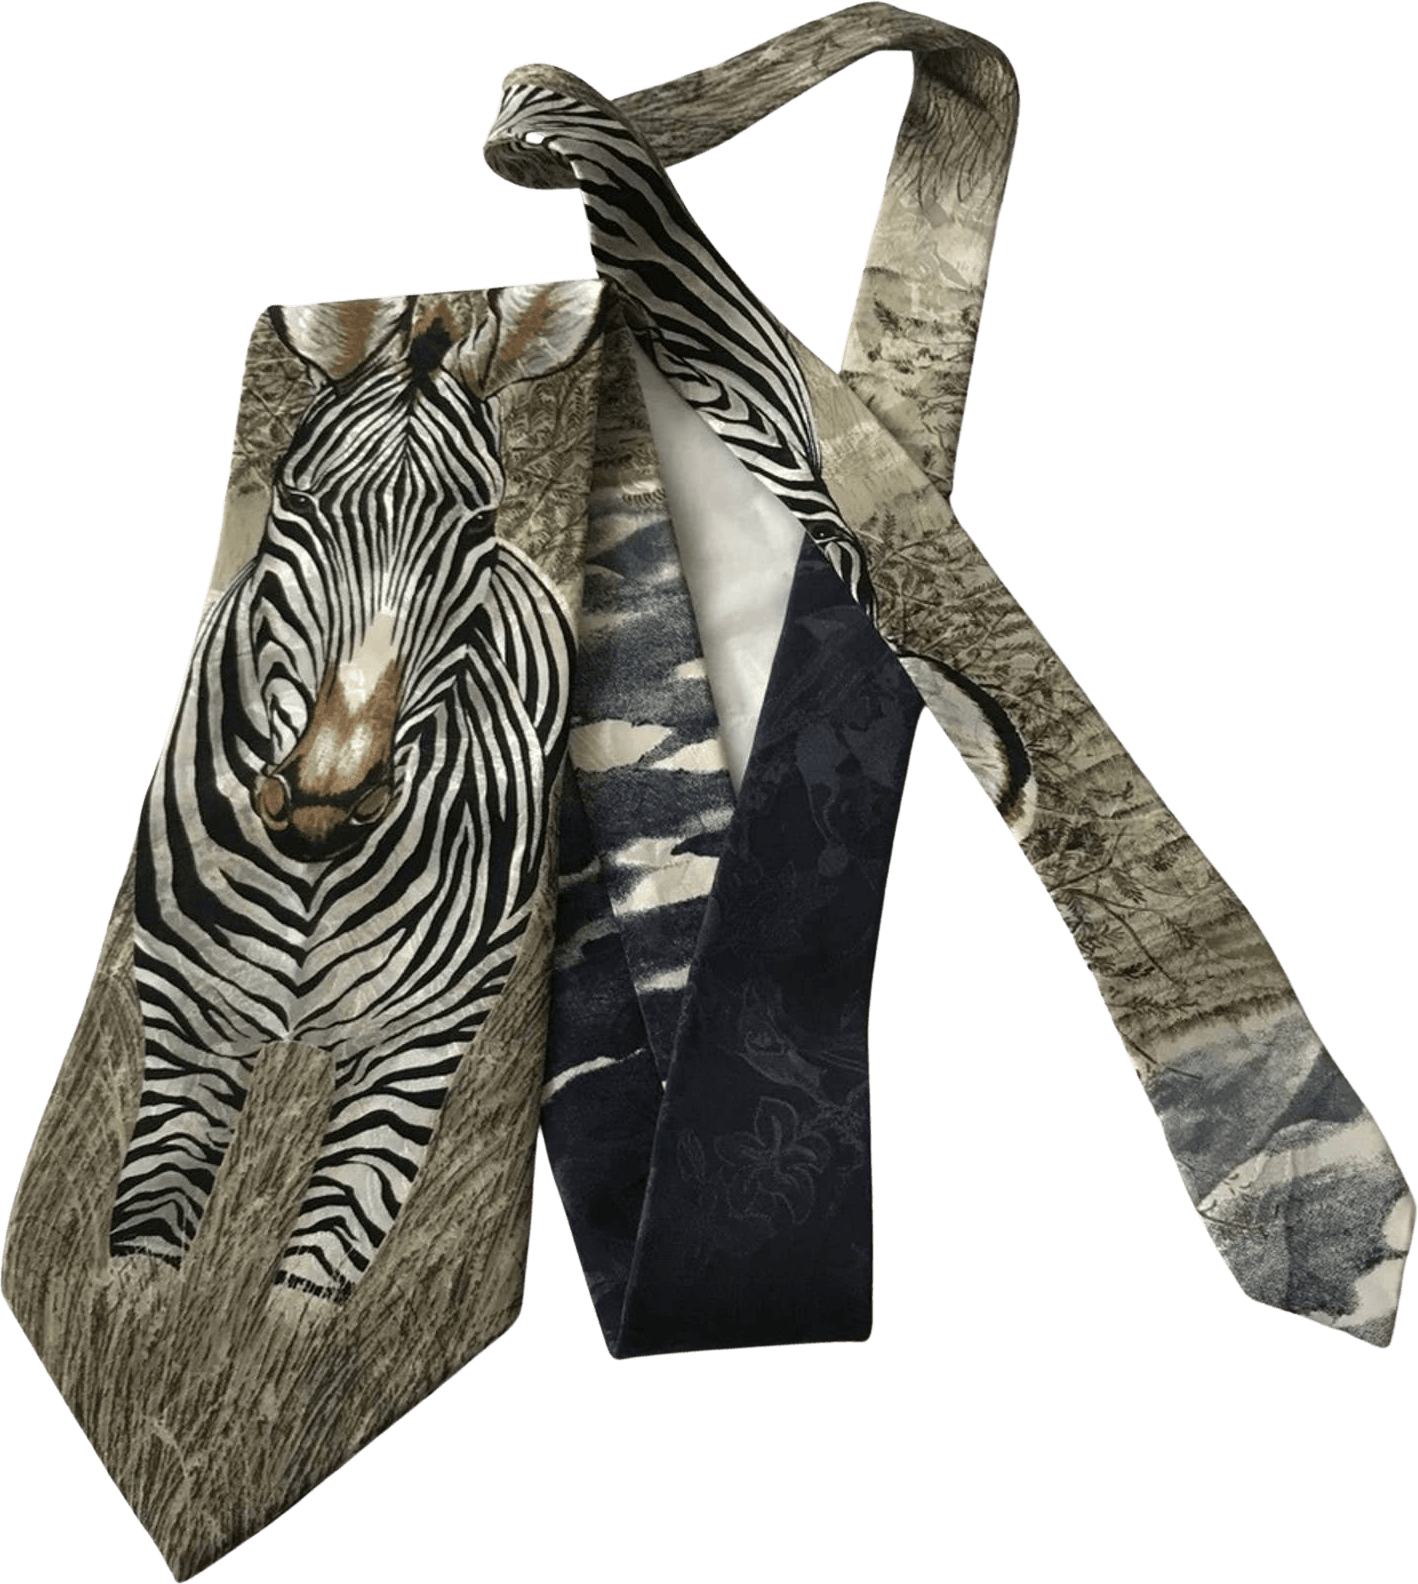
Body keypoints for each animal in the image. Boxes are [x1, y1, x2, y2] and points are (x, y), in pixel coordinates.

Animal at [109, 282, 603, 1300]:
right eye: (295, 499)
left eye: (476, 525)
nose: (321, 805)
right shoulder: (185, 1045)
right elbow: (137, 1276)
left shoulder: (414, 1059)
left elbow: (305, 1296)